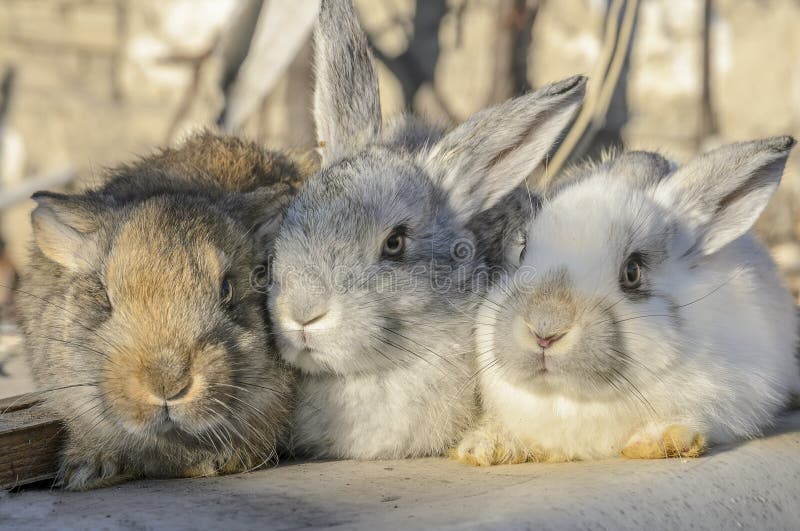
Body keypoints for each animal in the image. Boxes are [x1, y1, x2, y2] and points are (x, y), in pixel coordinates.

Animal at [451, 138, 800, 466]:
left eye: (632, 272)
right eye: (522, 251)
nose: (545, 330)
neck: (572, 400)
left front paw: (660, 442)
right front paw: (486, 447)